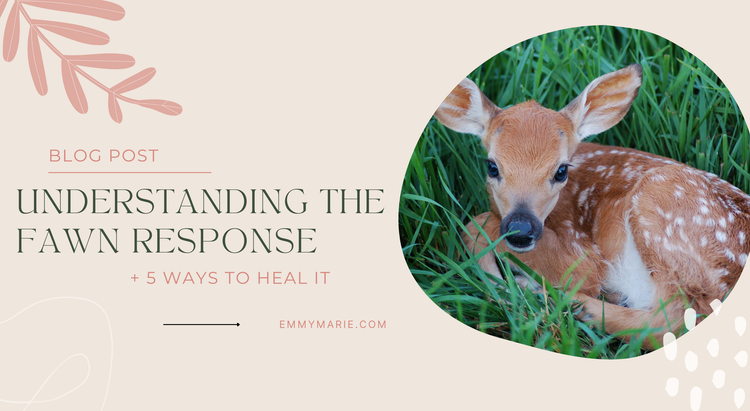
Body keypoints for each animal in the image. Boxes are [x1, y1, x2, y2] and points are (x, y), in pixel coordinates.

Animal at [434, 64, 750, 348]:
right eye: (492, 166)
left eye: (561, 170)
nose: (521, 230)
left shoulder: (581, 253)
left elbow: (476, 223)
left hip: (663, 203)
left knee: (675, 319)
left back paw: (553, 298)